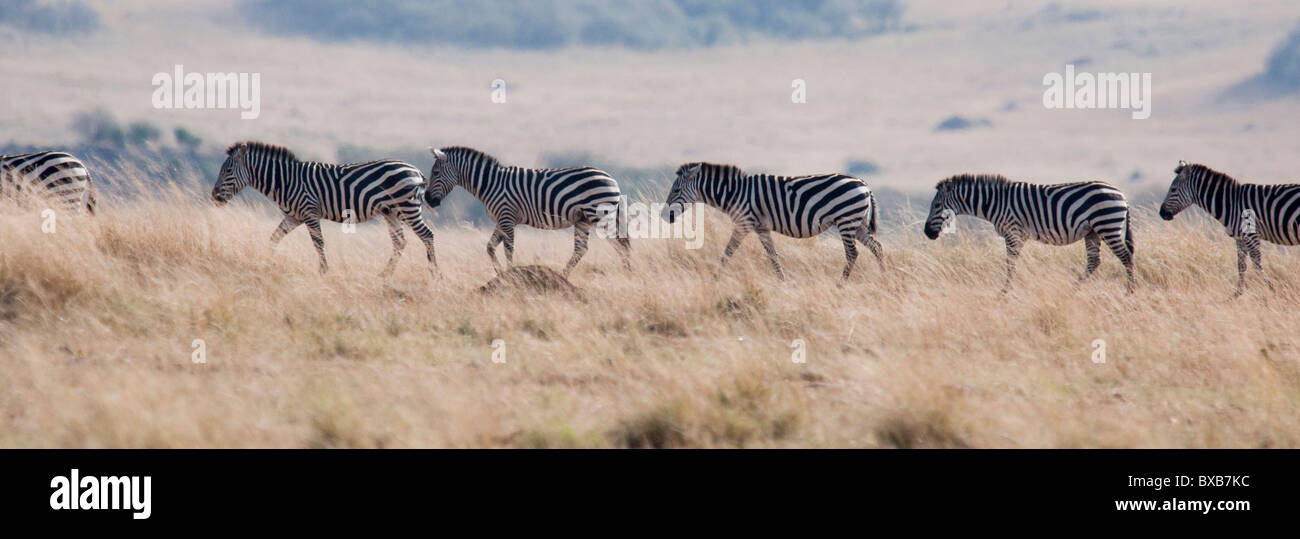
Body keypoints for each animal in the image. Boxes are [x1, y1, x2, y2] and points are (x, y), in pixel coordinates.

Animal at [211, 141, 437, 276]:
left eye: (228, 170)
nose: (214, 196)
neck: (285, 181)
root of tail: (415, 170)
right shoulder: (294, 217)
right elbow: (274, 238)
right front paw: (266, 261)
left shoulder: (309, 212)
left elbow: (318, 242)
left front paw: (323, 271)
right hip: (391, 211)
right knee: (400, 241)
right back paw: (384, 275)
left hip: (407, 206)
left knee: (427, 235)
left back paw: (435, 273)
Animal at [425, 146, 631, 277]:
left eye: (435, 173)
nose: (427, 199)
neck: (490, 183)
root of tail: (611, 179)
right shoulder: (502, 220)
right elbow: (490, 247)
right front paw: (499, 272)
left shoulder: (507, 216)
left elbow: (509, 250)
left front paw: (510, 275)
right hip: (583, 219)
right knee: (582, 249)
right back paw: (563, 276)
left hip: (599, 215)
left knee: (621, 245)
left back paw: (626, 273)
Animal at [661, 162, 884, 280]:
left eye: (676, 190)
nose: (664, 216)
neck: (734, 193)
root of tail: (863, 183)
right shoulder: (762, 228)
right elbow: (773, 256)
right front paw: (782, 281)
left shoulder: (744, 223)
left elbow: (728, 252)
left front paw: (715, 277)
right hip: (857, 223)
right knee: (877, 247)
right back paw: (885, 279)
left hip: (846, 220)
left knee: (852, 253)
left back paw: (840, 284)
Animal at [923, 174, 1135, 292]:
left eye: (937, 205)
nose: (927, 232)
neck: (995, 202)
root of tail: (1122, 195)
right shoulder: (1017, 235)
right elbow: (1013, 263)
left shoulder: (1013, 233)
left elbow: (1010, 264)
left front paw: (1004, 293)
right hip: (1093, 231)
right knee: (1094, 261)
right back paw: (1071, 290)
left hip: (1106, 224)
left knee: (1126, 257)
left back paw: (1129, 293)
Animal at [1159, 161, 1300, 294]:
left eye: (1173, 189)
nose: (1161, 213)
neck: (1231, 203)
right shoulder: (1240, 238)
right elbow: (1241, 266)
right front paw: (1237, 294)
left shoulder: (1251, 234)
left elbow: (1256, 264)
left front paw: (1272, 289)